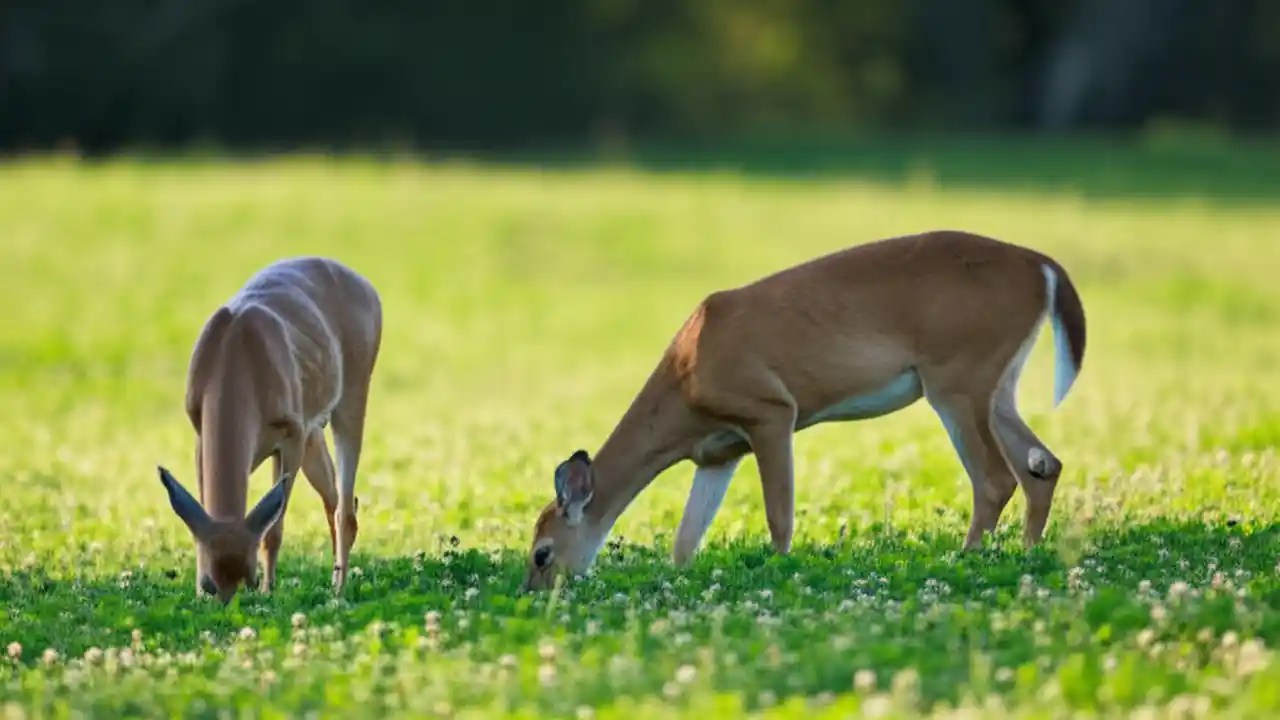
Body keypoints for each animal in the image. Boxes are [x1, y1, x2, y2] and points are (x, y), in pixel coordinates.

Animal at [157, 257, 382, 603]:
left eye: (249, 580)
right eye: (208, 584)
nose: (226, 605)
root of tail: (366, 286)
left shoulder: (291, 436)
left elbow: (273, 530)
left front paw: (268, 590)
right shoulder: (201, 440)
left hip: (352, 398)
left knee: (345, 509)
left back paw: (338, 591)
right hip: (314, 433)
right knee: (338, 501)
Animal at [522, 230, 1086, 591]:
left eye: (541, 552)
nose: (531, 592)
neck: (687, 382)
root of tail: (1045, 267)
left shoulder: (770, 410)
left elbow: (779, 515)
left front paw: (778, 569)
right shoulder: (717, 454)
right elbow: (685, 539)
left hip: (957, 374)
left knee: (996, 476)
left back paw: (967, 558)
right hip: (998, 384)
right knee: (1042, 466)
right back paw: (1027, 554)